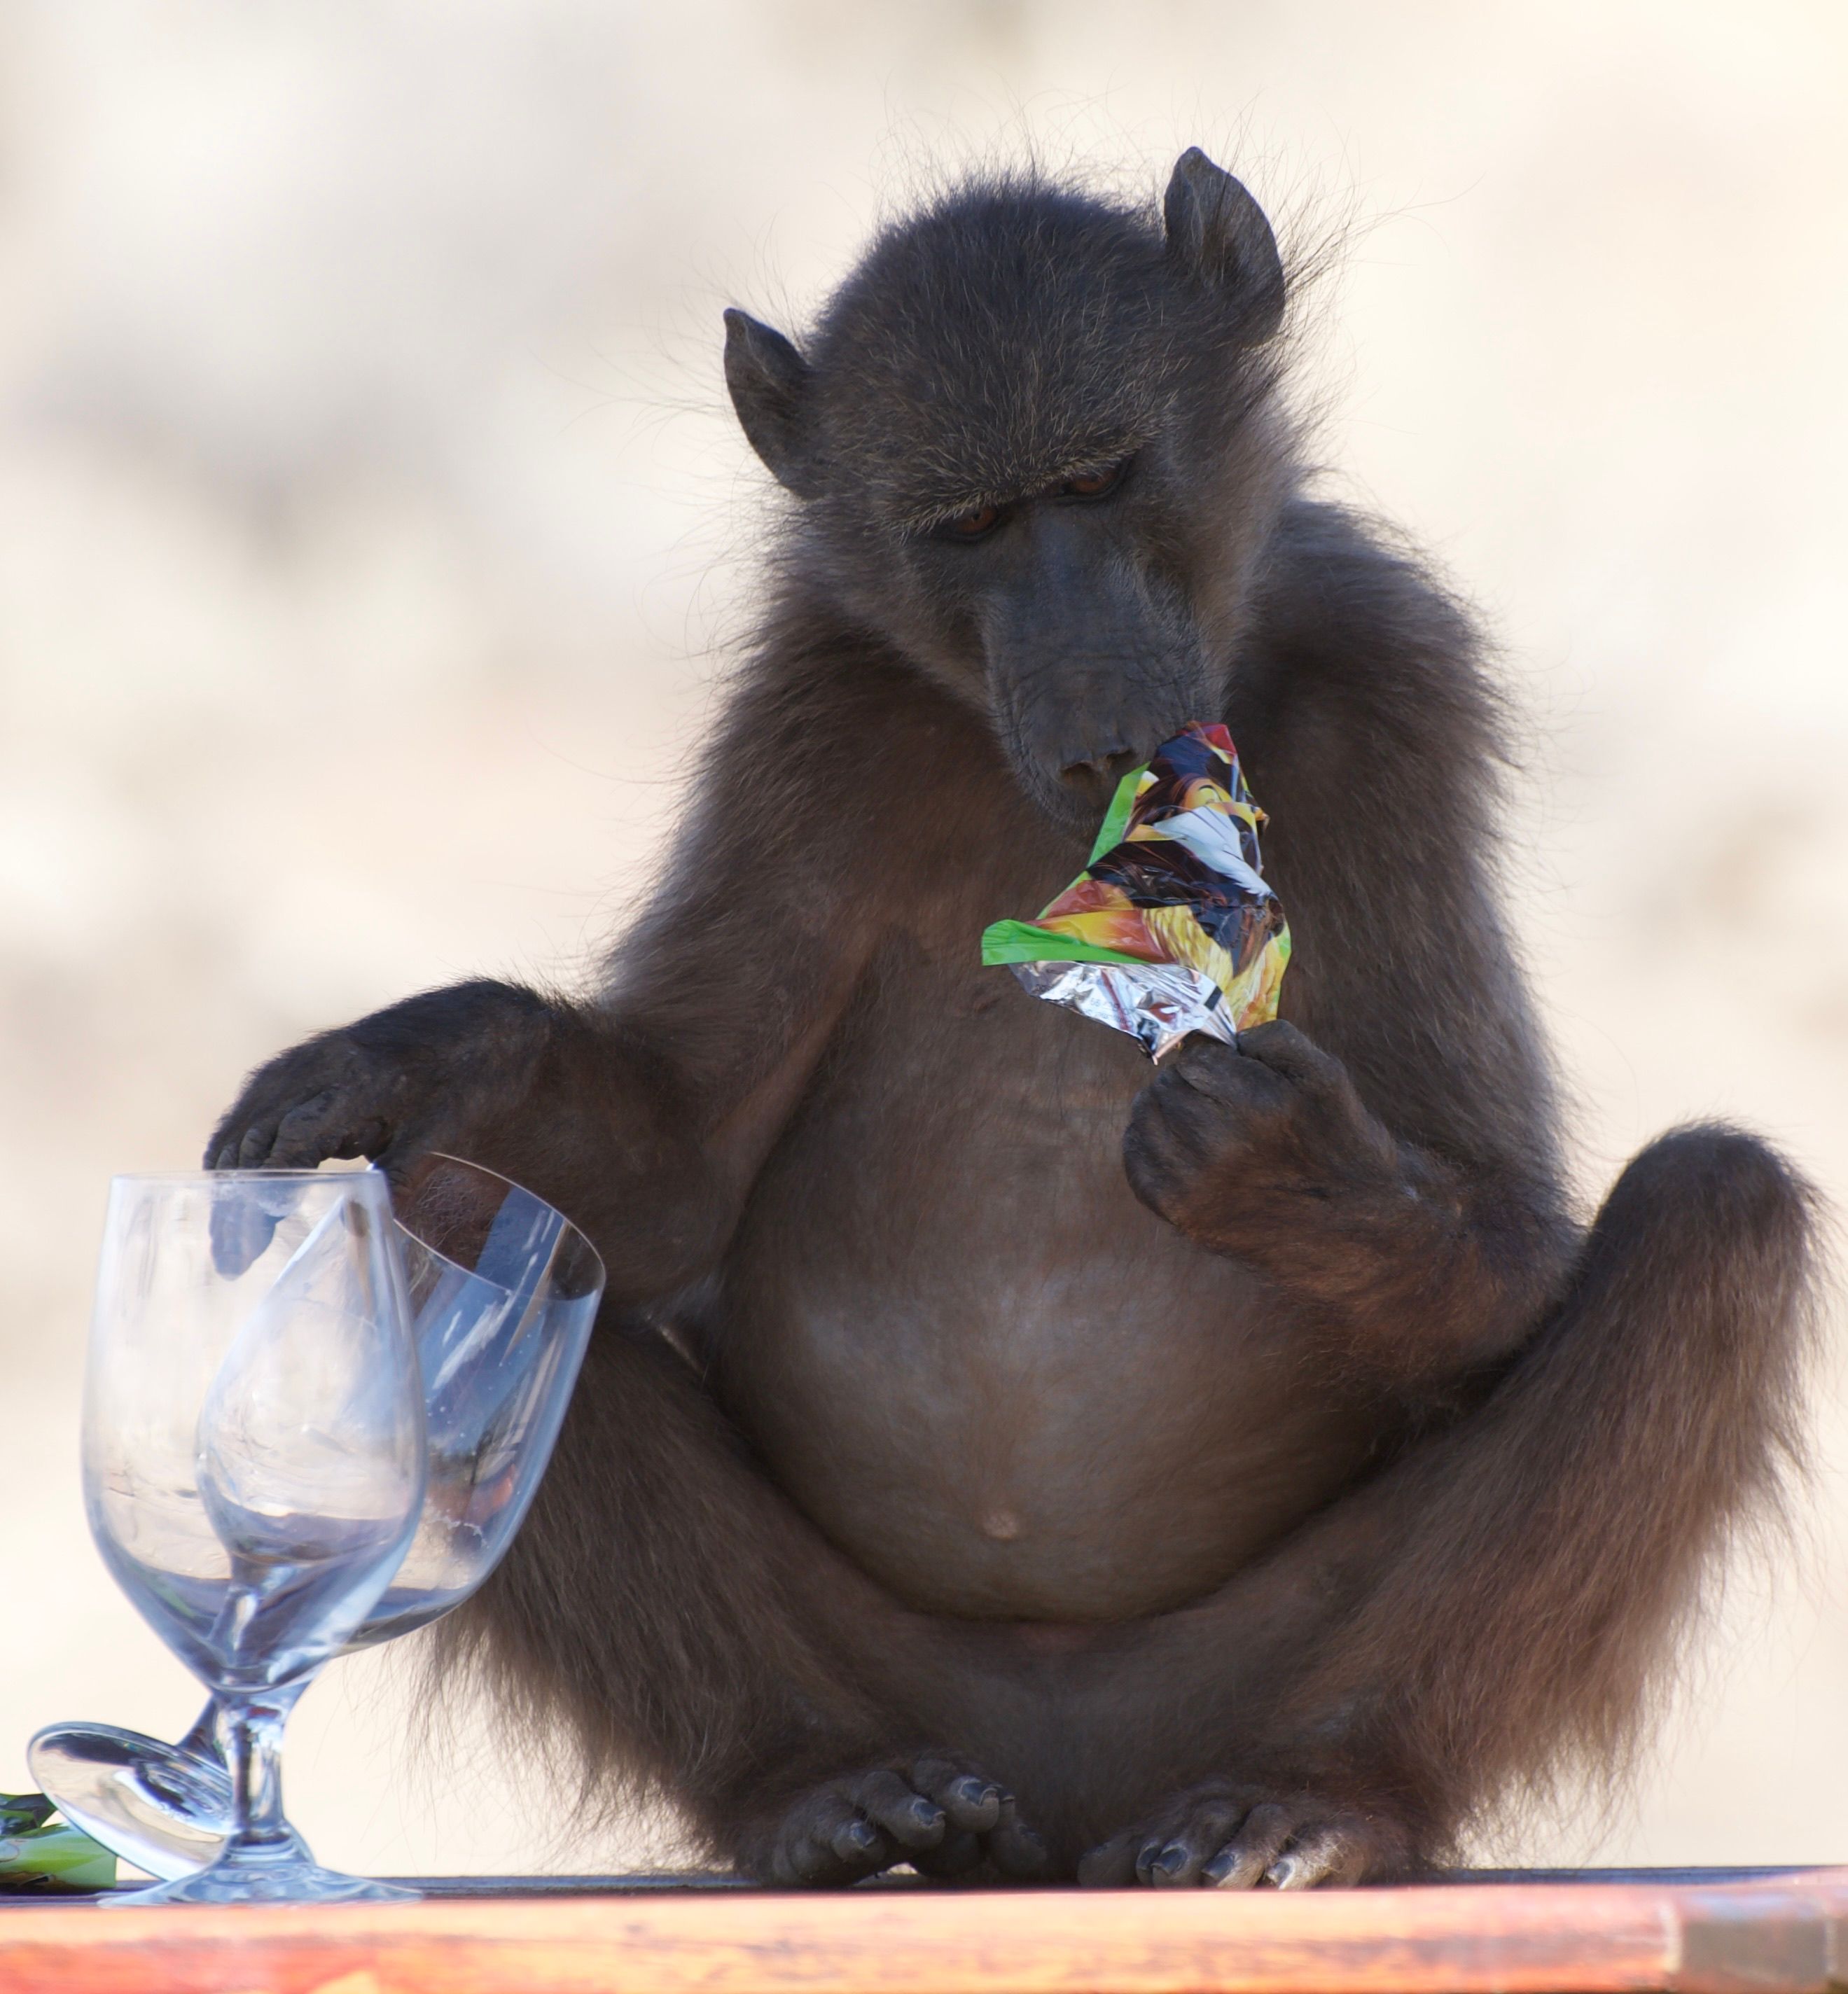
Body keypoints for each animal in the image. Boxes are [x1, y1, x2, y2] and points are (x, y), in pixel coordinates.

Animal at [207, 149, 1819, 1889]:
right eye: (971, 526)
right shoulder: (811, 707)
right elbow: (672, 1164)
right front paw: (400, 1061)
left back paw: (1317, 1794)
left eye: (1102, 481)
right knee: (458, 1208)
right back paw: (825, 1791)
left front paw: (1292, 1174)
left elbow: (1510, 1252)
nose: (1100, 709)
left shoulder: (1398, 684)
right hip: (915, 1681)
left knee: (1713, 1215)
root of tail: (1069, 1804)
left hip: (1228, 1675)